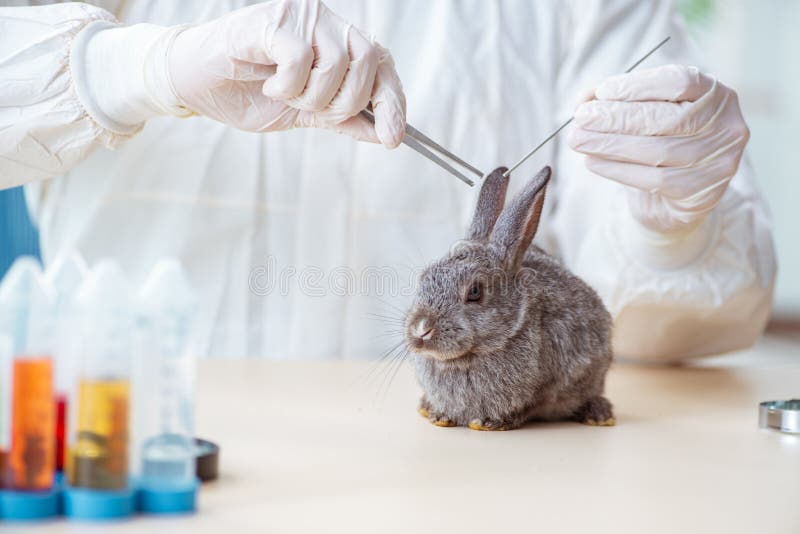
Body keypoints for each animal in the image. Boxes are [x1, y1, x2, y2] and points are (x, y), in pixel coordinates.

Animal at [404, 166, 614, 431]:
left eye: (475, 292)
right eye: (424, 276)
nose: (421, 330)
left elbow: (533, 403)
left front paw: (489, 422)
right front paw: (439, 415)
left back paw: (600, 415)